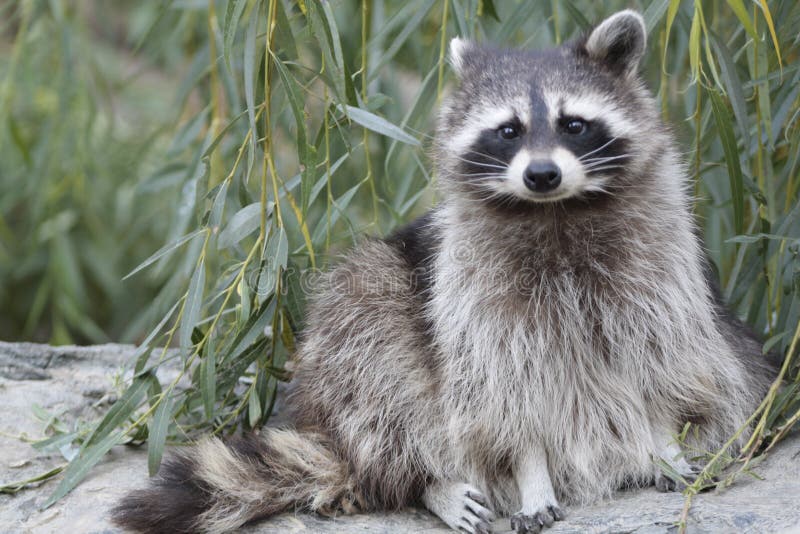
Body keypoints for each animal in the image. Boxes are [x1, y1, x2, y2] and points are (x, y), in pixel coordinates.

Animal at [113, 10, 776, 534]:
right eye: (508, 130)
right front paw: (530, 469)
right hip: (368, 303)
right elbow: (498, 389)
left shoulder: (659, 265)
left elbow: (664, 358)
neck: (554, 211)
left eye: (573, 123)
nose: (541, 174)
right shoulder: (471, 291)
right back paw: (430, 480)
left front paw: (665, 440)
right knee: (380, 366)